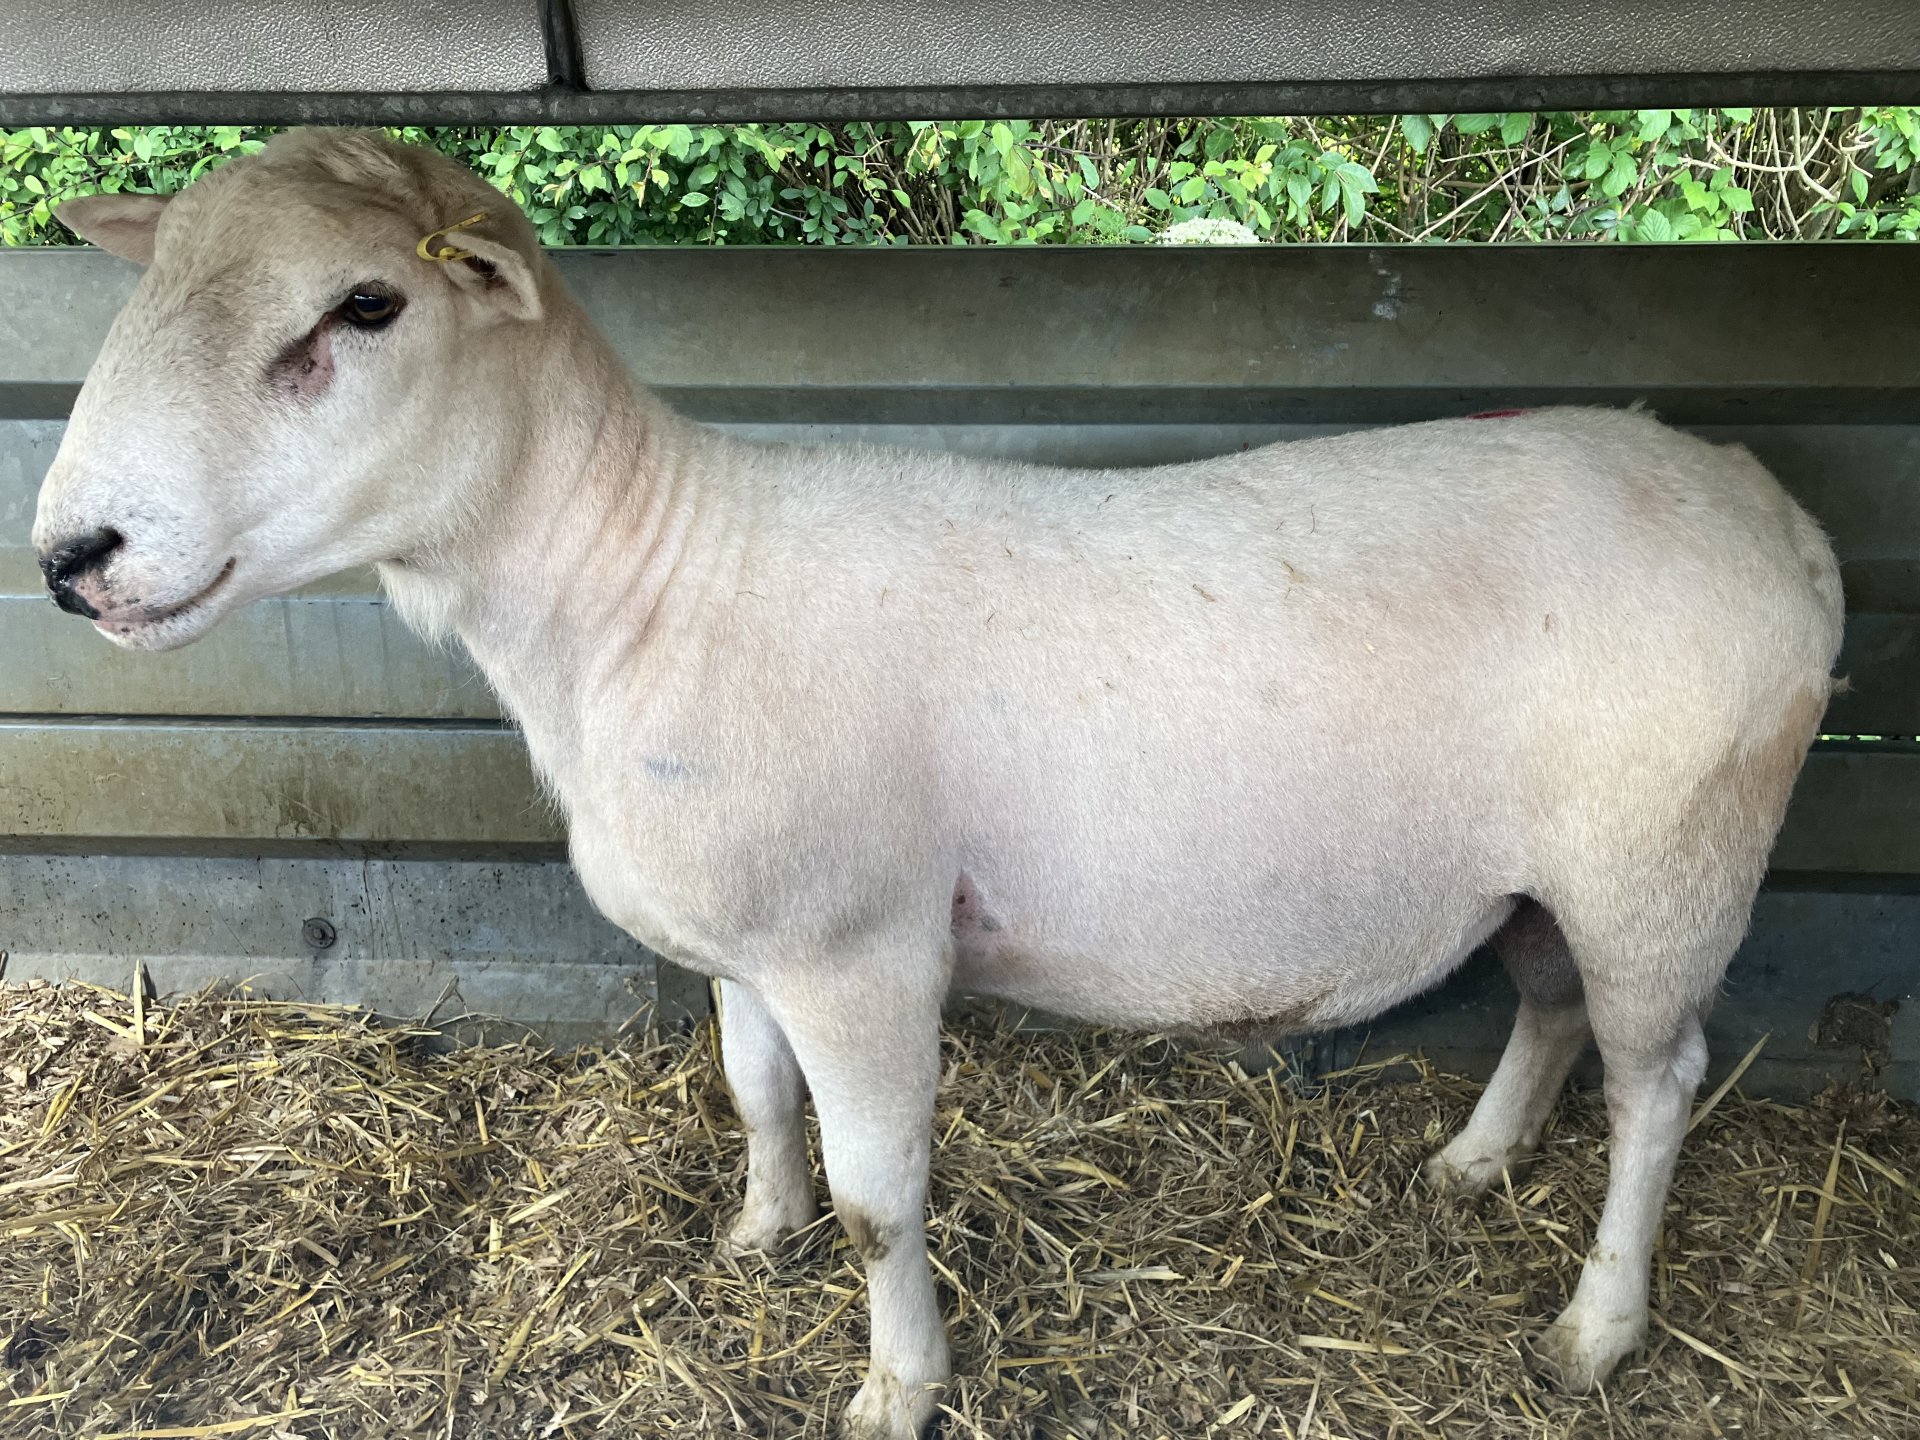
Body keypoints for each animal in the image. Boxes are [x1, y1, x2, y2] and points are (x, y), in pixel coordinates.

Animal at [34, 129, 1843, 1440]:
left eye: (366, 308)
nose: (70, 557)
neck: (634, 580)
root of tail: (1777, 520)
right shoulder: (756, 941)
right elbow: (756, 1103)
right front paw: (752, 1238)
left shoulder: (863, 951)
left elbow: (878, 1202)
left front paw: (898, 1385)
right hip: (1561, 866)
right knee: (1551, 1005)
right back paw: (1473, 1164)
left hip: (1668, 861)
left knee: (1660, 1086)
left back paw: (1596, 1327)